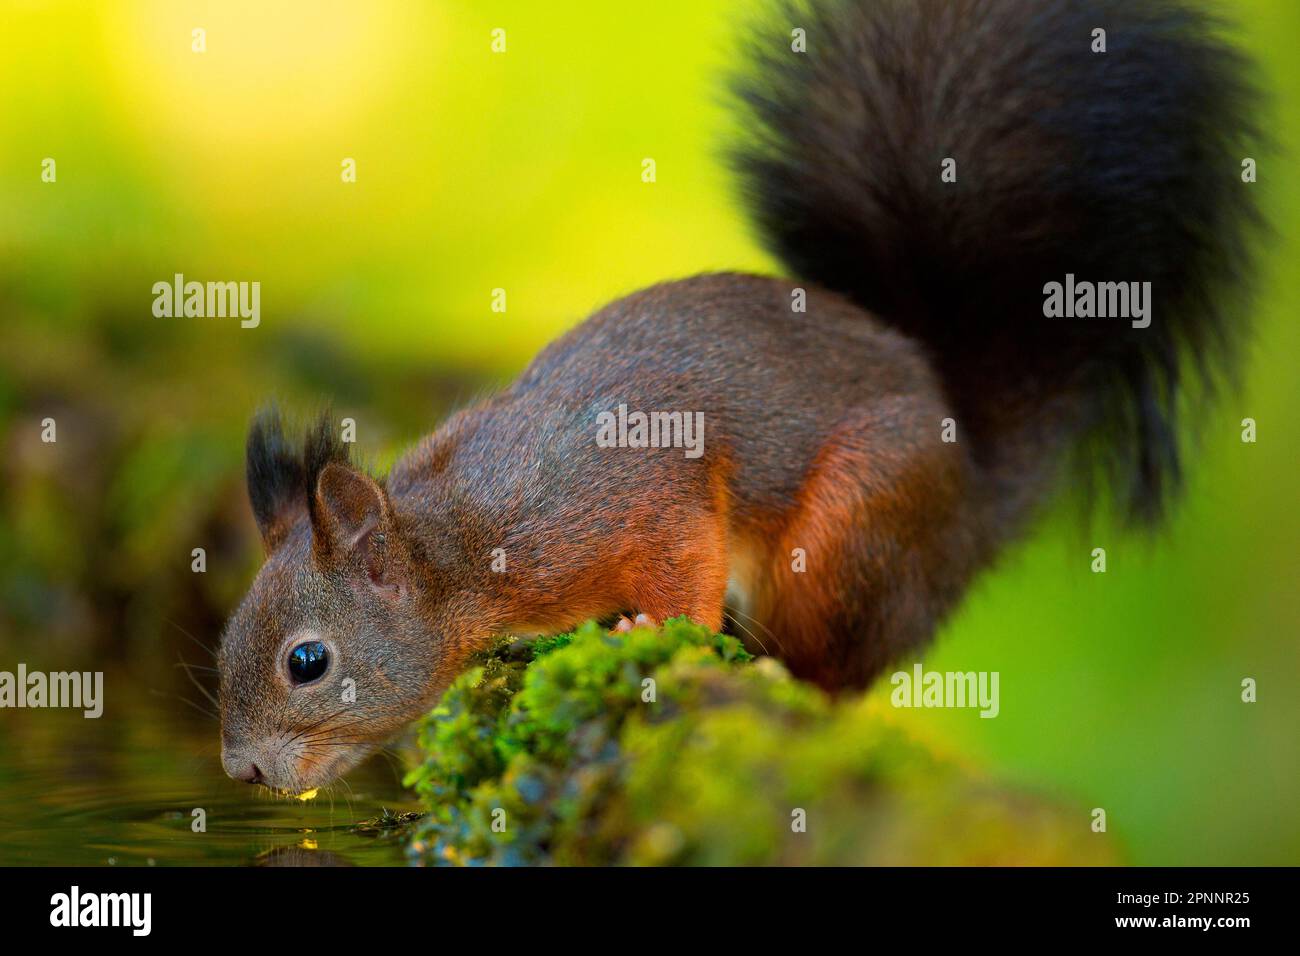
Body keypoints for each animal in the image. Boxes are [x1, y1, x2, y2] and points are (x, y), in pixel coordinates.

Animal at [219, 0, 1259, 790]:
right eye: (227, 635)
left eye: (307, 663)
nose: (242, 774)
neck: (460, 543)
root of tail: (972, 478)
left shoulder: (623, 499)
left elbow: (682, 553)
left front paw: (654, 630)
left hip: (856, 523)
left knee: (831, 673)